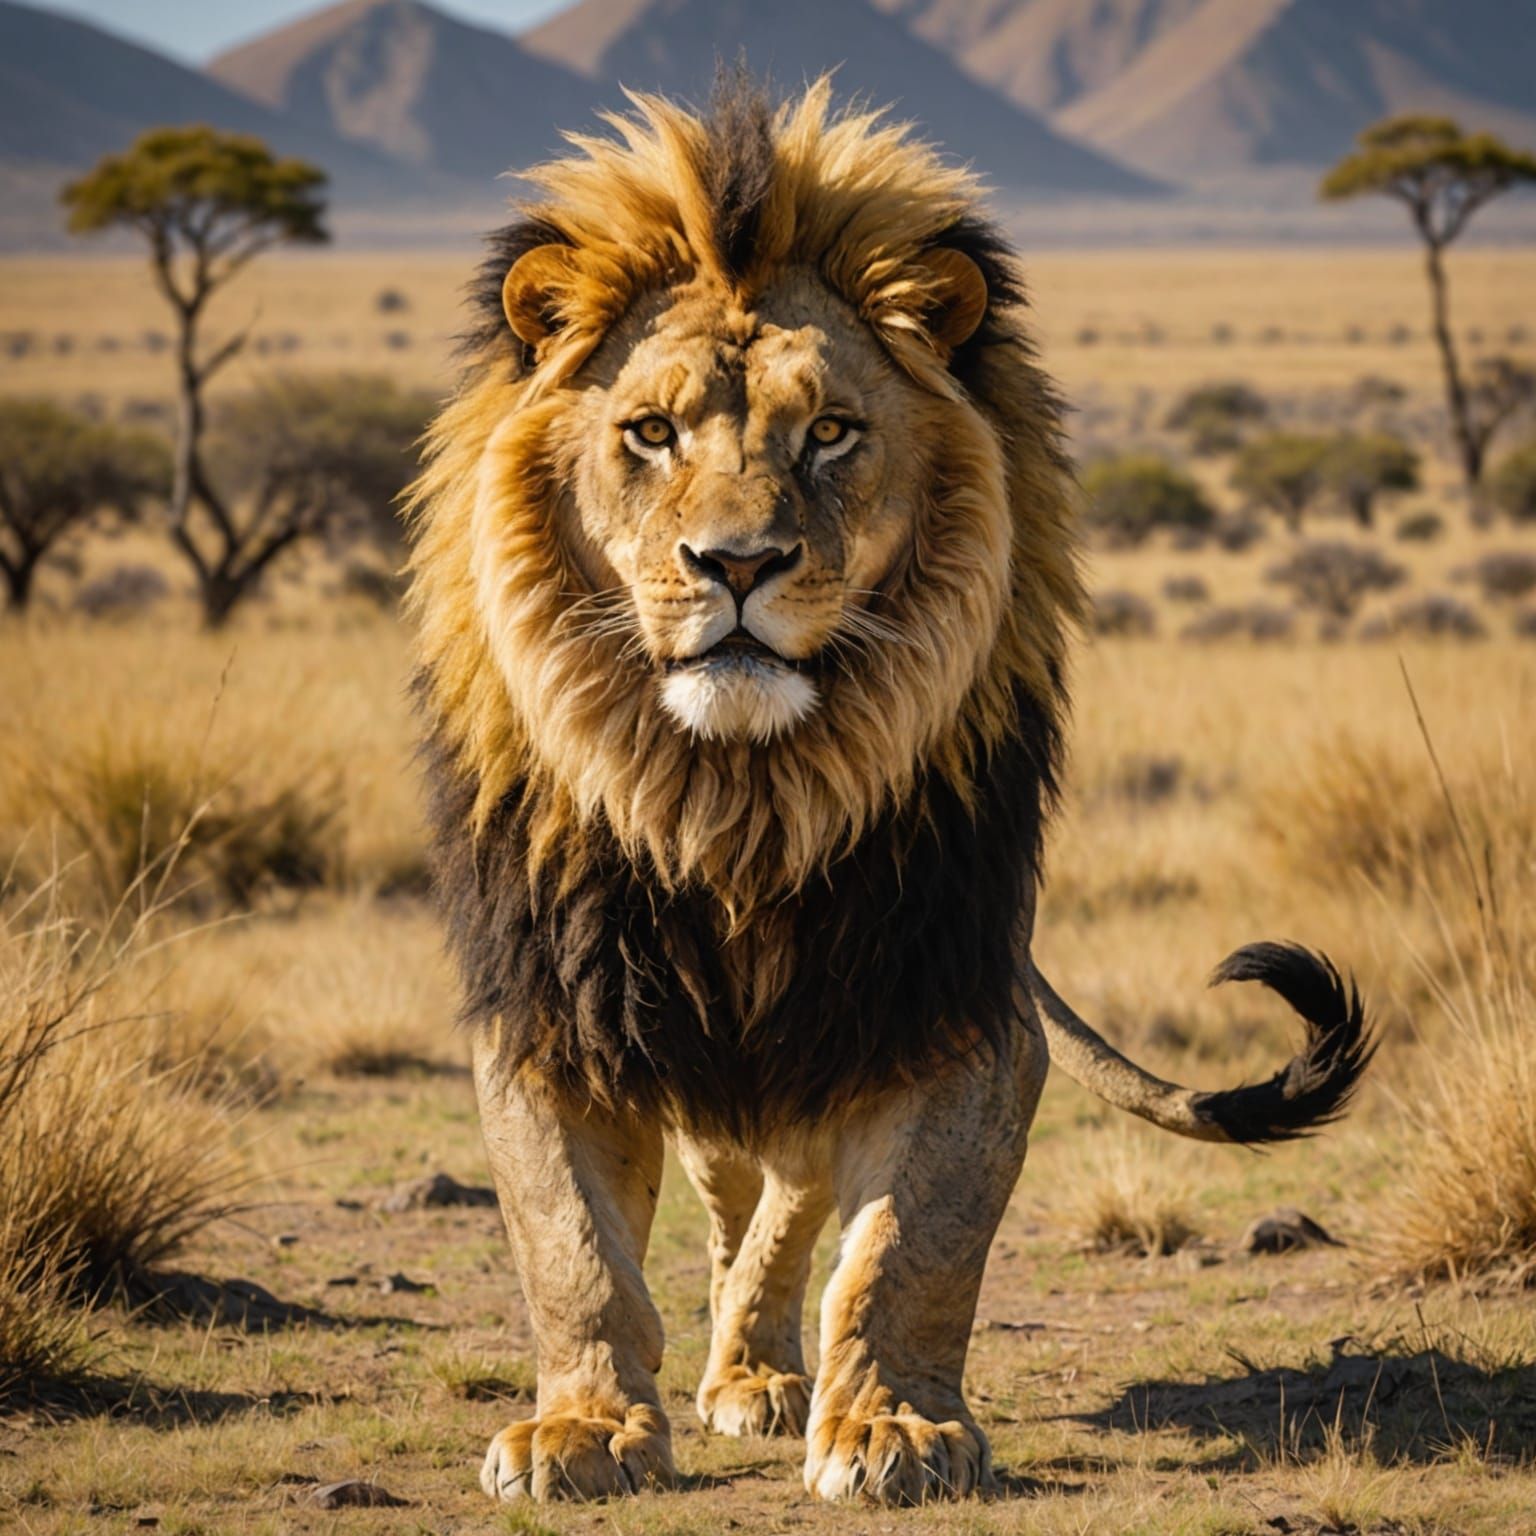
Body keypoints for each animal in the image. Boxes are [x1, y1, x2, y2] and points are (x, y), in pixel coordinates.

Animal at [405, 78, 1374, 1507]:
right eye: (651, 432)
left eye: (830, 432)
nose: (736, 562)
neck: (734, 797)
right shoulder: (557, 1001)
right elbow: (571, 1250)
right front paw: (582, 1429)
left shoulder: (942, 1005)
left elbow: (905, 1251)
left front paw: (893, 1427)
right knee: (726, 1190)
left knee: (788, 1207)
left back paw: (761, 1373)